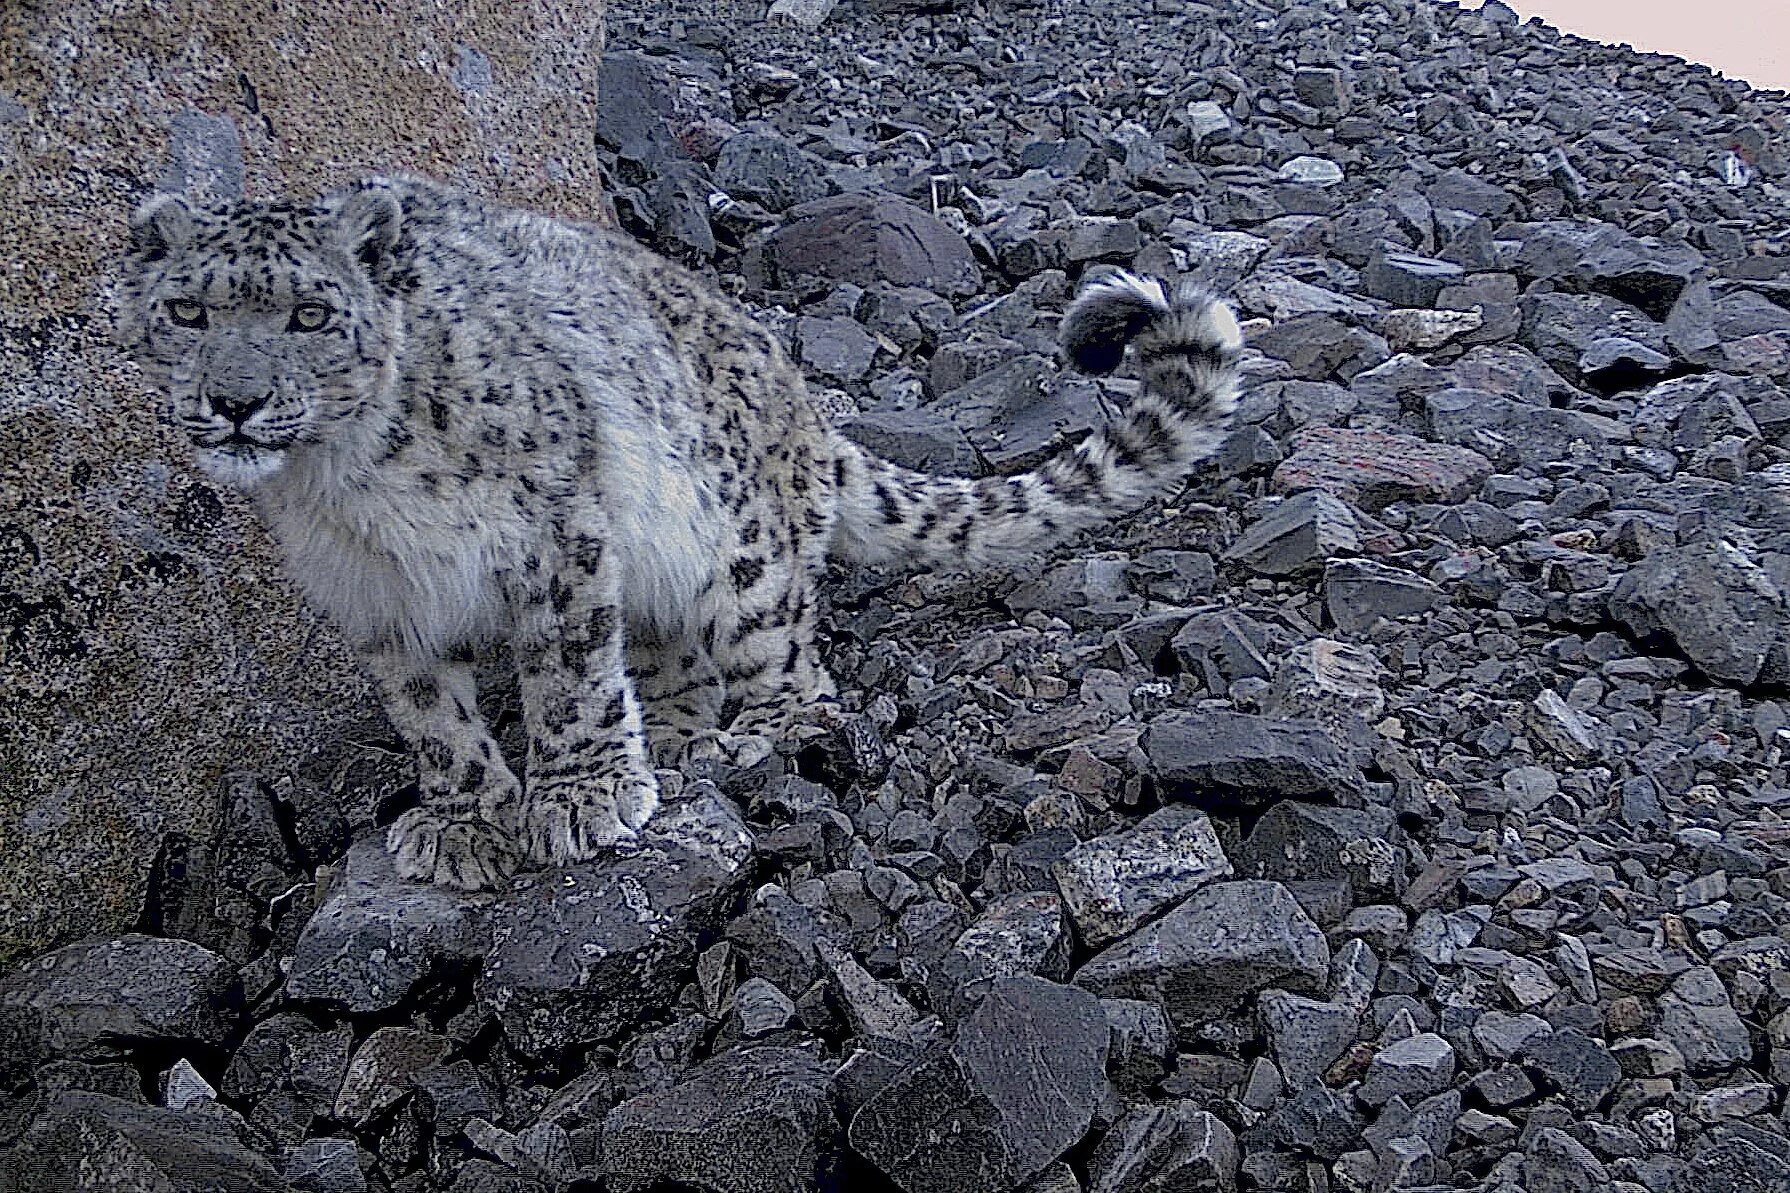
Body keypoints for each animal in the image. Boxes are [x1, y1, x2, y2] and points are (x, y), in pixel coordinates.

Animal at [119, 174, 1245, 881]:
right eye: (187, 312)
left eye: (311, 315)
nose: (233, 401)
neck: (343, 485)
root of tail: (806, 406)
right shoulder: (376, 597)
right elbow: (428, 713)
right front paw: (466, 821)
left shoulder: (550, 527)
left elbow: (566, 670)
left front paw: (576, 798)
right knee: (670, 655)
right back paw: (676, 732)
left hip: (734, 547)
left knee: (790, 663)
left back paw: (756, 733)